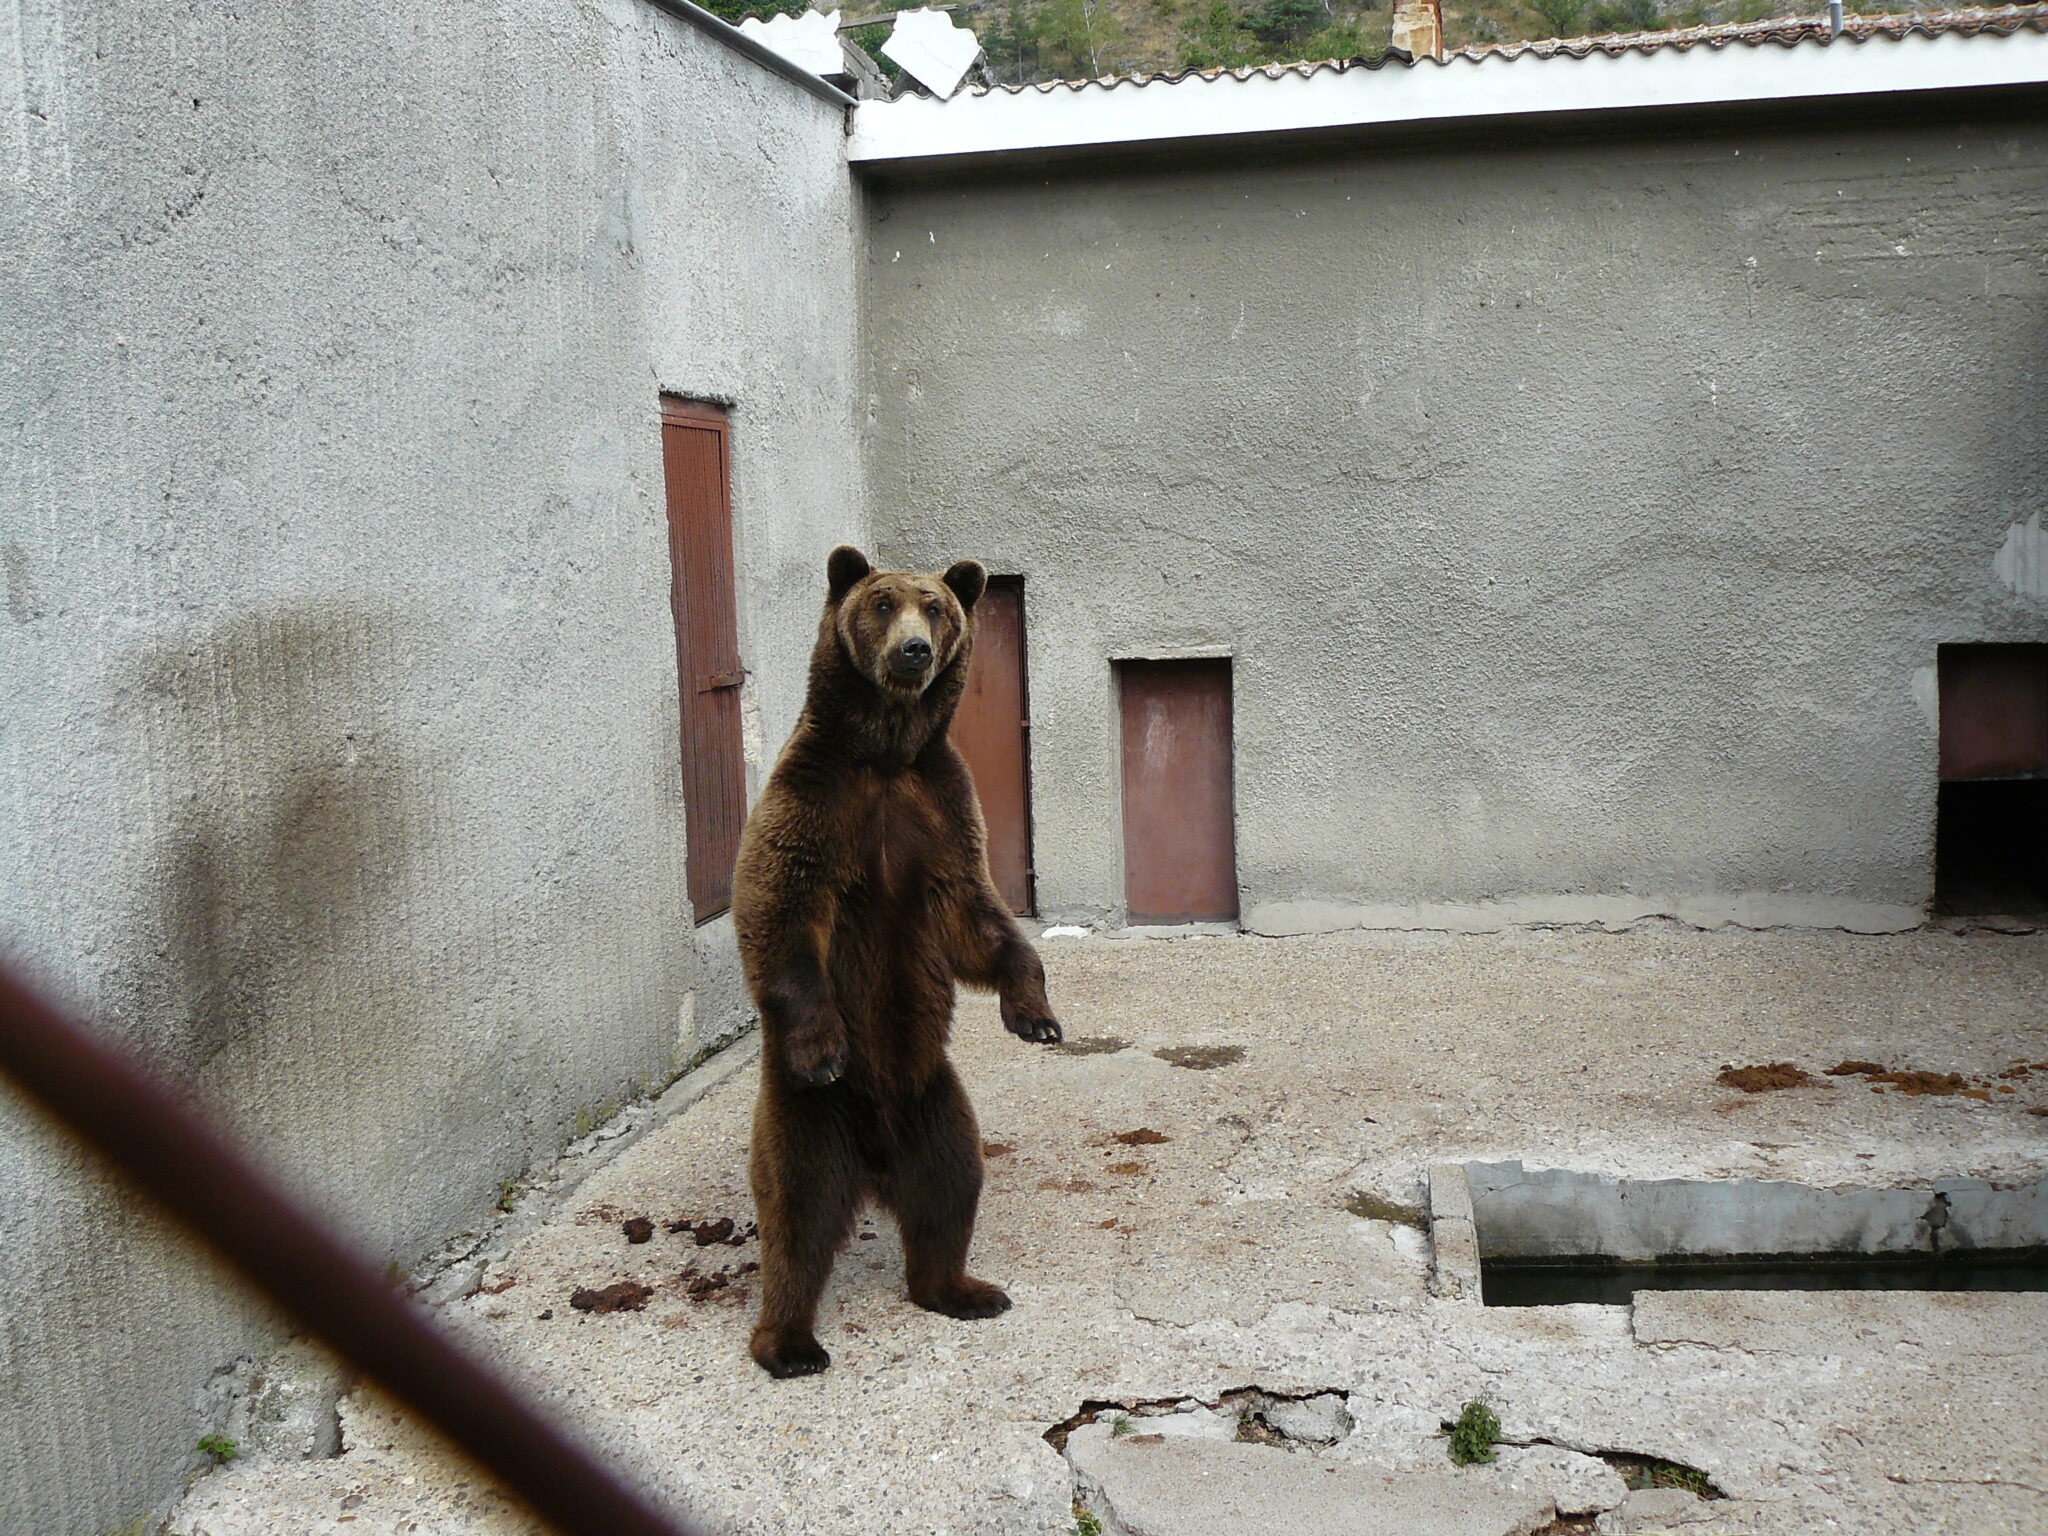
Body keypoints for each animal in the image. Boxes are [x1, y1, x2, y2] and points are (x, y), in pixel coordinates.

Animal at [731, 544, 1064, 1379]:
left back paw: (962, 1288)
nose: (914, 650)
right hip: (810, 1118)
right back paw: (789, 1343)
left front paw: (1037, 1017)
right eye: (883, 603)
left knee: (952, 1186)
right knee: (796, 1214)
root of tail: (876, 1160)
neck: (883, 753)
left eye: (936, 607)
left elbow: (975, 915)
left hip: (933, 1099)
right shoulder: (812, 799)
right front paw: (822, 1044)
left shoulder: (938, 808)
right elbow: (779, 908)